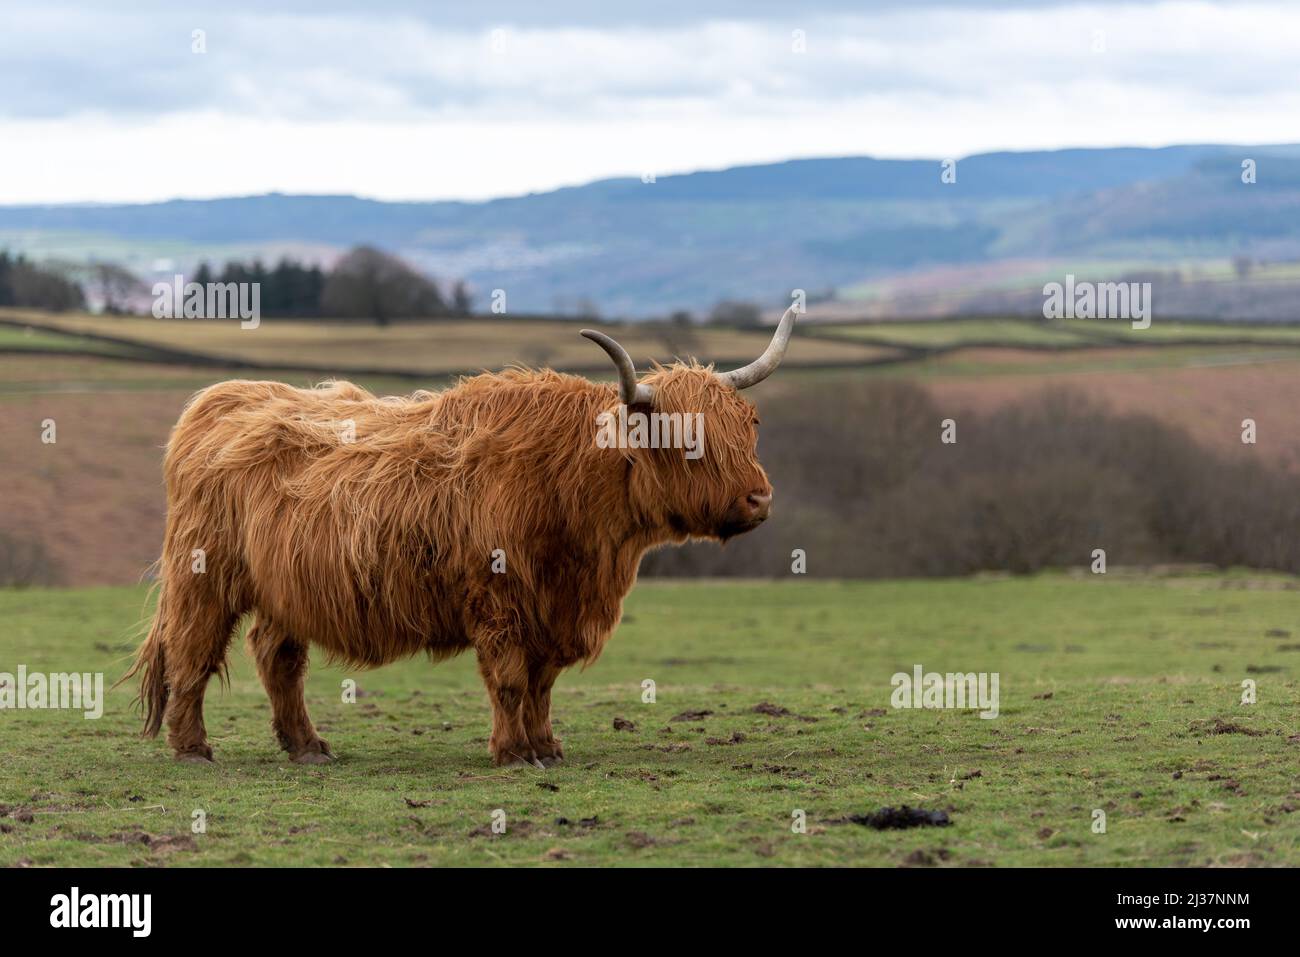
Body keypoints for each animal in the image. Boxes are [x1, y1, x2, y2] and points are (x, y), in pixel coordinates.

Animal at [124, 306, 797, 767]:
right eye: (688, 441)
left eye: (751, 425)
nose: (760, 498)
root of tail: (221, 398)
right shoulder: (499, 599)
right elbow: (509, 679)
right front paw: (512, 754)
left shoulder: (555, 609)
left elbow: (541, 685)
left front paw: (546, 747)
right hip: (203, 573)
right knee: (191, 650)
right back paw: (193, 749)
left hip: (288, 585)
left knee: (277, 656)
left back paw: (307, 745)